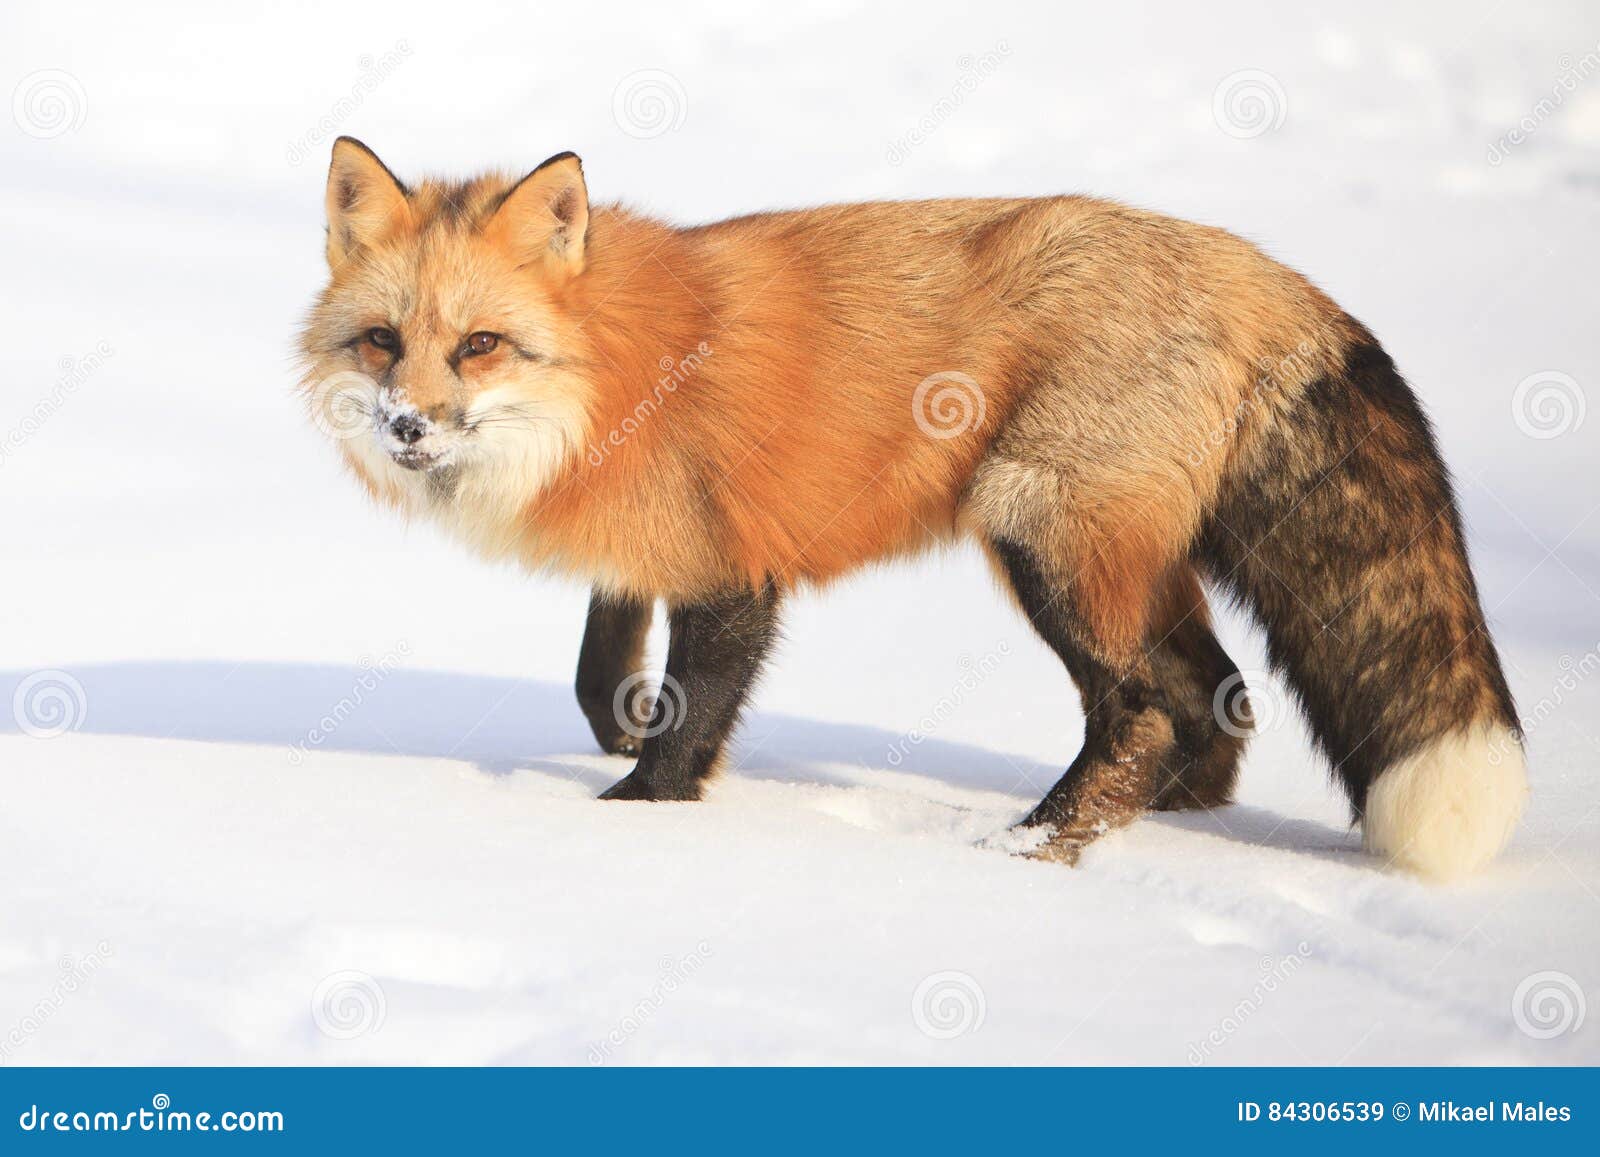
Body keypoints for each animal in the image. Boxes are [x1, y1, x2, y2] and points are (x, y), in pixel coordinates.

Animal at [297, 137, 1527, 879]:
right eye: (382, 341)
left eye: (479, 345)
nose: (407, 428)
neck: (612, 376)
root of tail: (1259, 268)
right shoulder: (650, 551)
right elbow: (600, 674)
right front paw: (618, 733)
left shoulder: (733, 572)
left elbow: (688, 720)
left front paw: (638, 820)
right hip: (1107, 558)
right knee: (1213, 699)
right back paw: (1155, 828)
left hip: (1037, 534)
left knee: (1147, 710)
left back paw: (1031, 848)